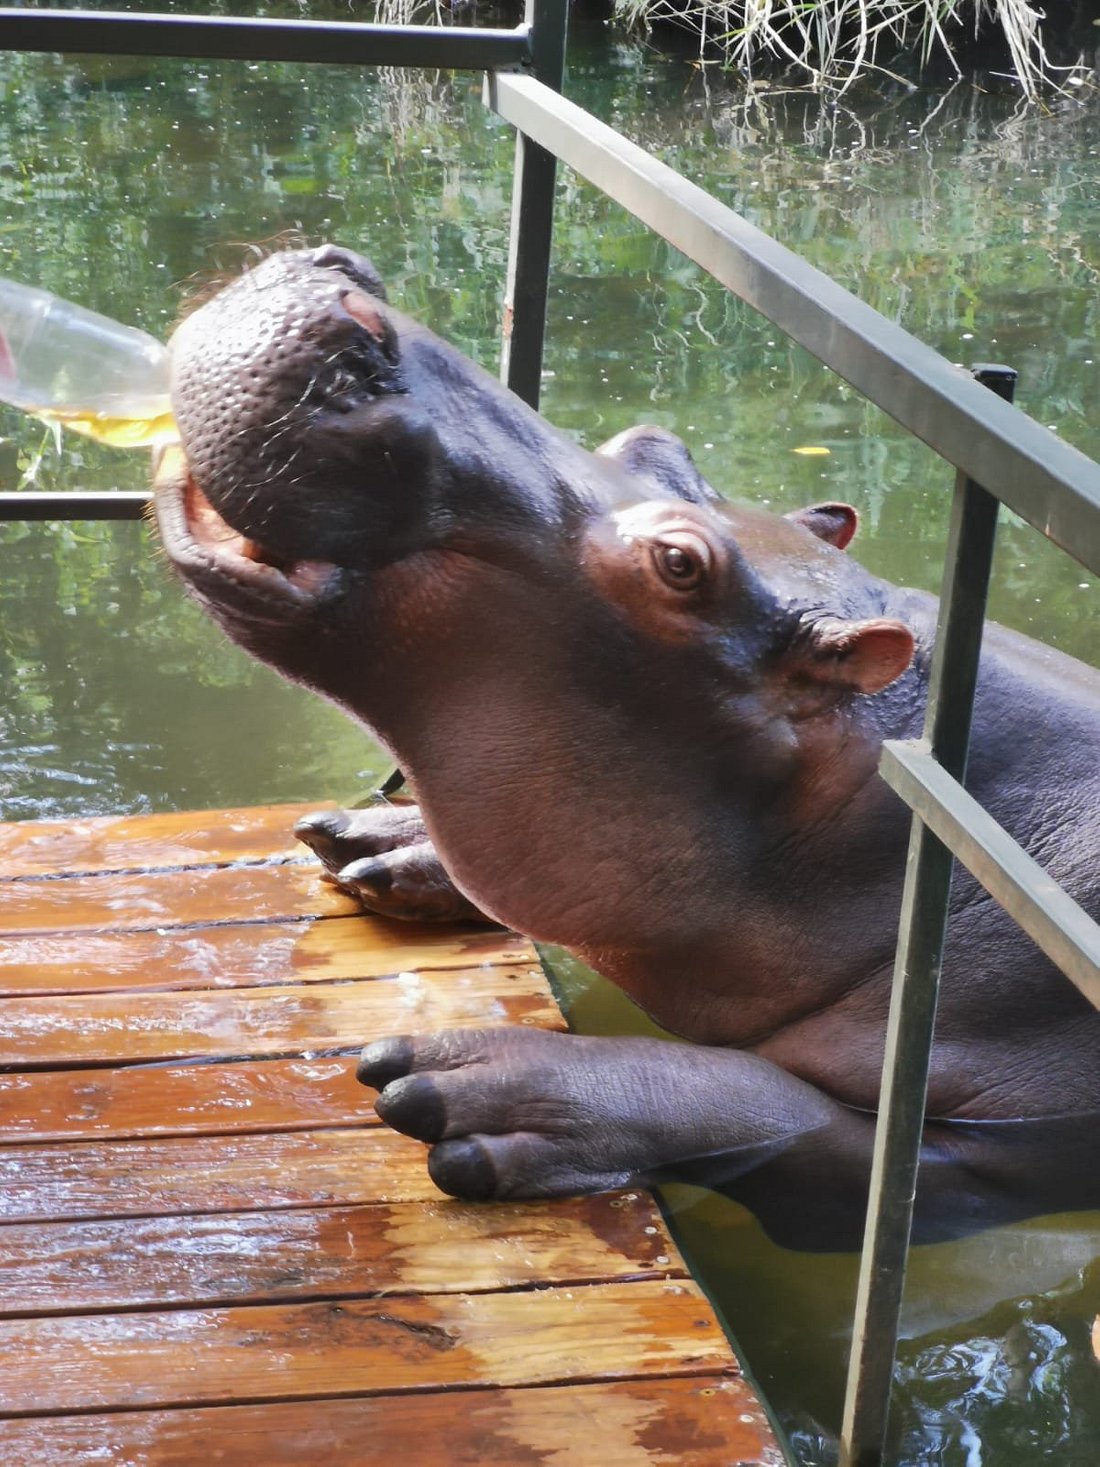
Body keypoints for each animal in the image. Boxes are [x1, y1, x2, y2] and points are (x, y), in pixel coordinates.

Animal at [154, 245, 1100, 1247]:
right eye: (653, 441)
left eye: (678, 566)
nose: (350, 289)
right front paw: (384, 845)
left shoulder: (989, 1157)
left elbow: (777, 1111)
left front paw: (480, 1084)